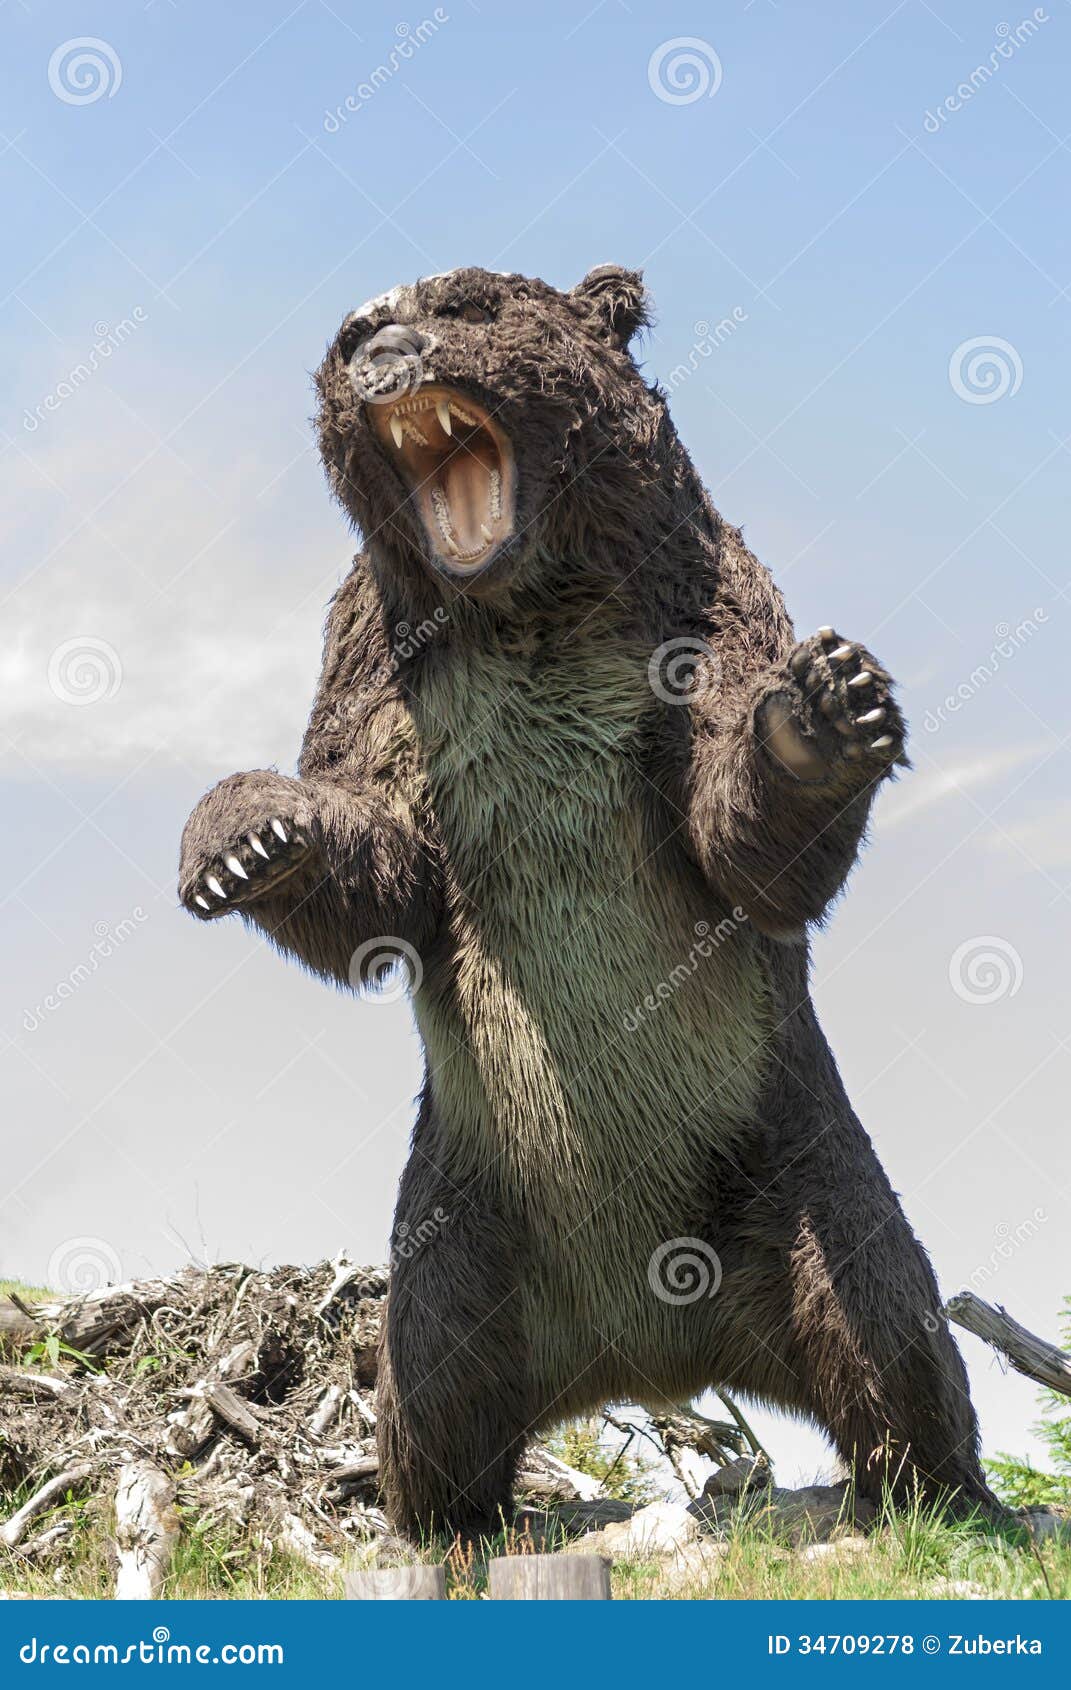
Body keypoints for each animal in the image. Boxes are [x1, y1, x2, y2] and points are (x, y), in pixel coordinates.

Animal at [178, 263, 1000, 1539]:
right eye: (349, 330)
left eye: (465, 302)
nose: (372, 342)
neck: (520, 605)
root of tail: (648, 1349)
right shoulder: (384, 657)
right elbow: (384, 862)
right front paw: (247, 838)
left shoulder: (695, 603)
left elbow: (741, 846)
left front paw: (824, 707)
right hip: (473, 1203)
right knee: (432, 1370)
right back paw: (452, 1515)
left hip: (787, 1155)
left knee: (885, 1318)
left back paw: (940, 1493)